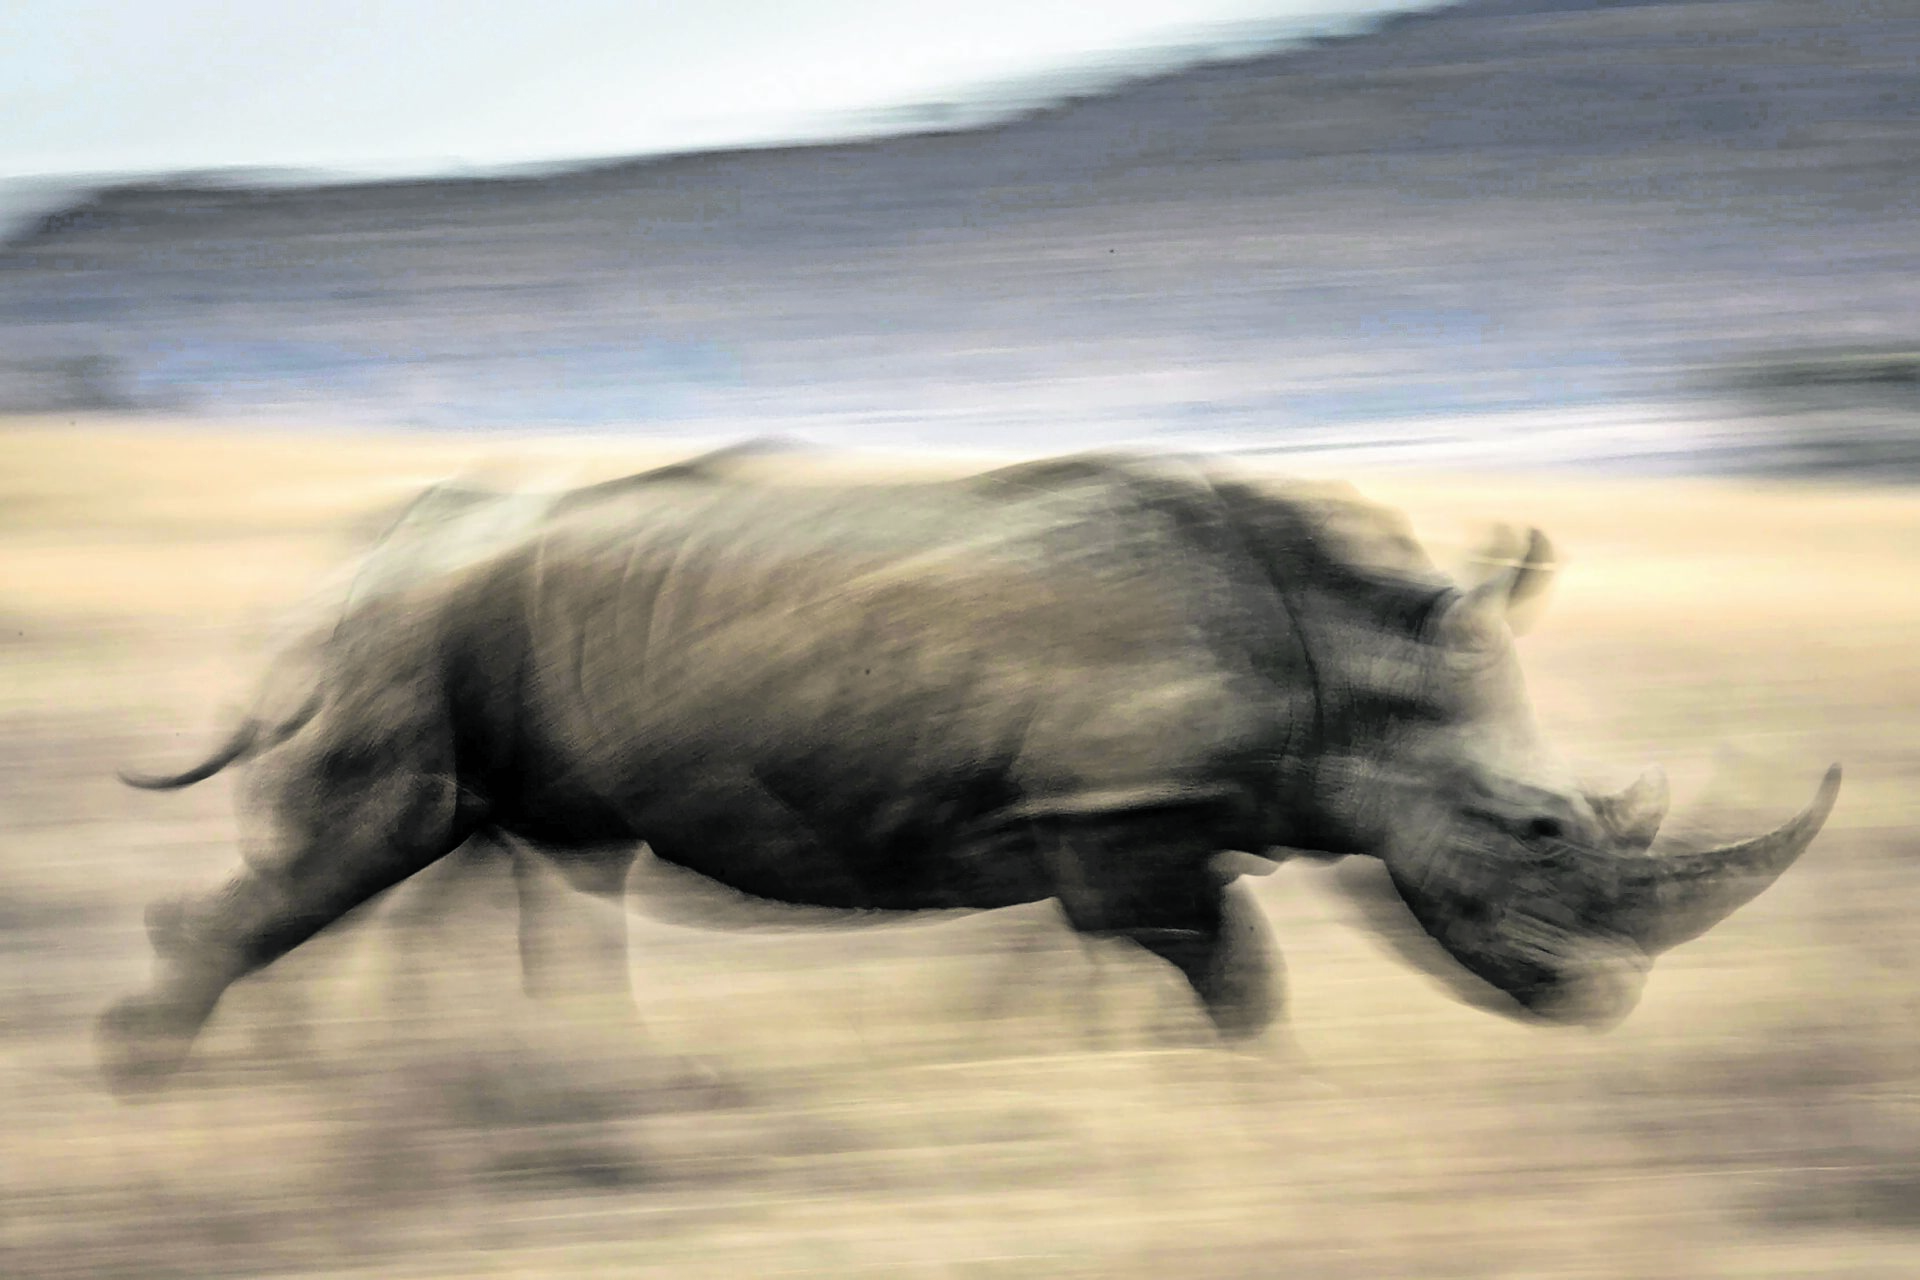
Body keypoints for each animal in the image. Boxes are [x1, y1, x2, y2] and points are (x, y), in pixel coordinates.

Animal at [98, 448, 1841, 1094]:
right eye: (1538, 830)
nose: (1602, 1005)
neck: (1350, 655)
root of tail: (368, 551)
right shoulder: (1119, 816)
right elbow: (1232, 975)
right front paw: (1259, 1098)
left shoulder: (1112, 819)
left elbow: (1102, 967)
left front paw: (1031, 1068)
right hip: (415, 634)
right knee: (375, 847)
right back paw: (158, 1086)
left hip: (471, 631)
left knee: (507, 859)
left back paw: (519, 1073)